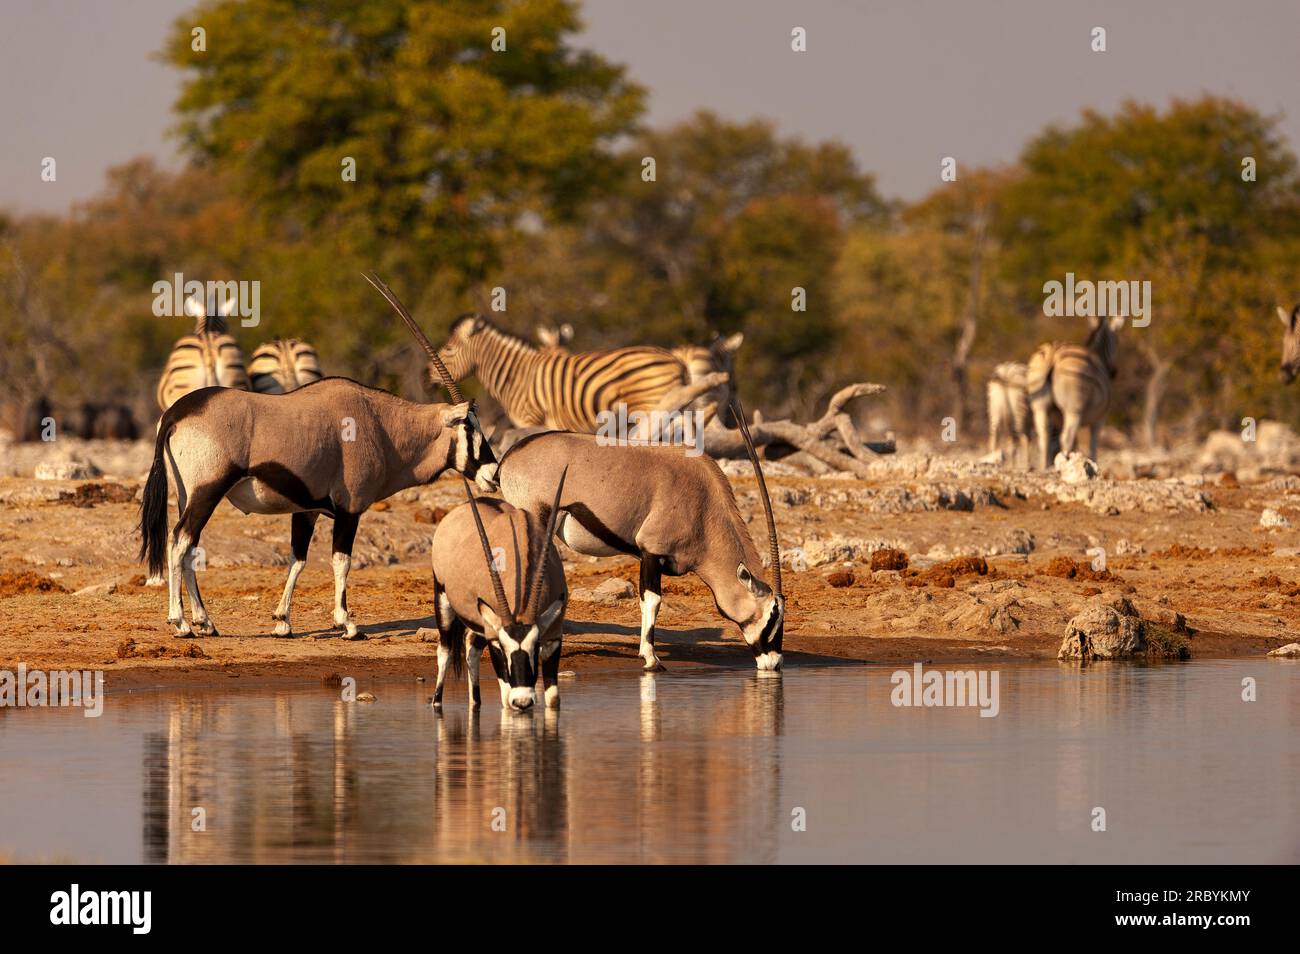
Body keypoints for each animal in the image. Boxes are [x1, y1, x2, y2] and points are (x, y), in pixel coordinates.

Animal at [136, 275, 498, 640]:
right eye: (469, 426)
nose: (493, 474)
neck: (381, 423)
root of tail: (176, 413)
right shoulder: (349, 508)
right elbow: (341, 560)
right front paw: (346, 623)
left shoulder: (306, 509)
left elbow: (298, 559)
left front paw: (282, 621)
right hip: (207, 492)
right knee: (180, 541)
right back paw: (181, 622)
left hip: (190, 495)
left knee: (190, 547)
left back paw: (205, 621)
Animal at [432, 314, 697, 431]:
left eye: (448, 350)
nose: (427, 377)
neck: (517, 376)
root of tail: (677, 360)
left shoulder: (531, 420)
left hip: (653, 405)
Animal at [432, 472, 568, 711]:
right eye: (502, 649)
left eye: (536, 646)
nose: (523, 701)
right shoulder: (493, 637)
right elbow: (505, 699)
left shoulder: (553, 635)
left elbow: (553, 699)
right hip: (443, 598)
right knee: (445, 651)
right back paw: (437, 701)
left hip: (481, 622)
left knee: (471, 648)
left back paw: (475, 702)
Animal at [496, 400, 785, 671]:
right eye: (773, 615)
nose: (774, 662)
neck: (703, 506)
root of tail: (510, 456)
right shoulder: (651, 552)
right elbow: (653, 601)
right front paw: (651, 658)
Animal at [1026, 315, 1123, 469]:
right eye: (1117, 341)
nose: (1114, 372)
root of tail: (1053, 354)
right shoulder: (1100, 418)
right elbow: (1093, 444)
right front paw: (1093, 464)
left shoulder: (1058, 419)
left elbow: (1072, 443)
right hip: (1073, 410)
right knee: (1065, 437)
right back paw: (1064, 464)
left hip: (1040, 407)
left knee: (1043, 436)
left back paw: (1044, 467)